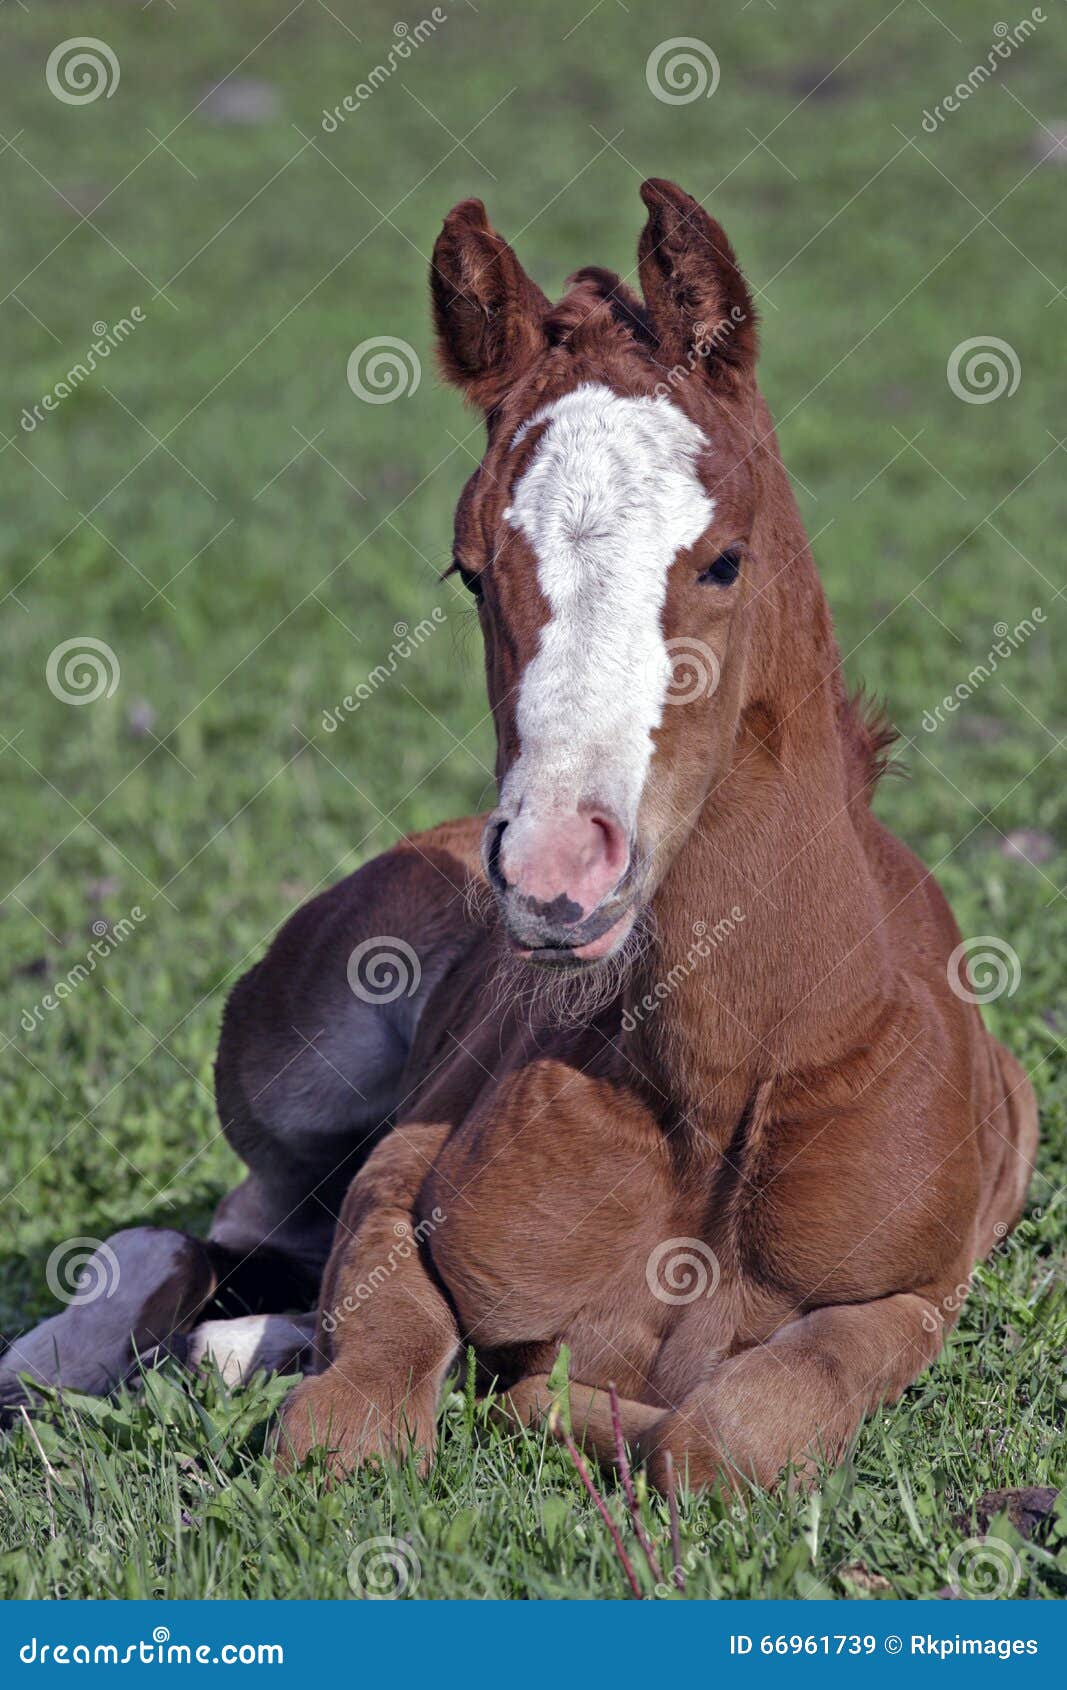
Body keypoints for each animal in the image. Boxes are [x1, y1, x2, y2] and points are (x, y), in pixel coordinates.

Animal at [1, 180, 1037, 1496]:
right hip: (300, 1065)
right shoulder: (404, 1181)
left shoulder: (908, 1296)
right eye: (468, 571)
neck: (722, 1080)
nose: (552, 873)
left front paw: (547, 1397)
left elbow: (729, 1430)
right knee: (225, 1226)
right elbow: (352, 1403)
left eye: (723, 560)